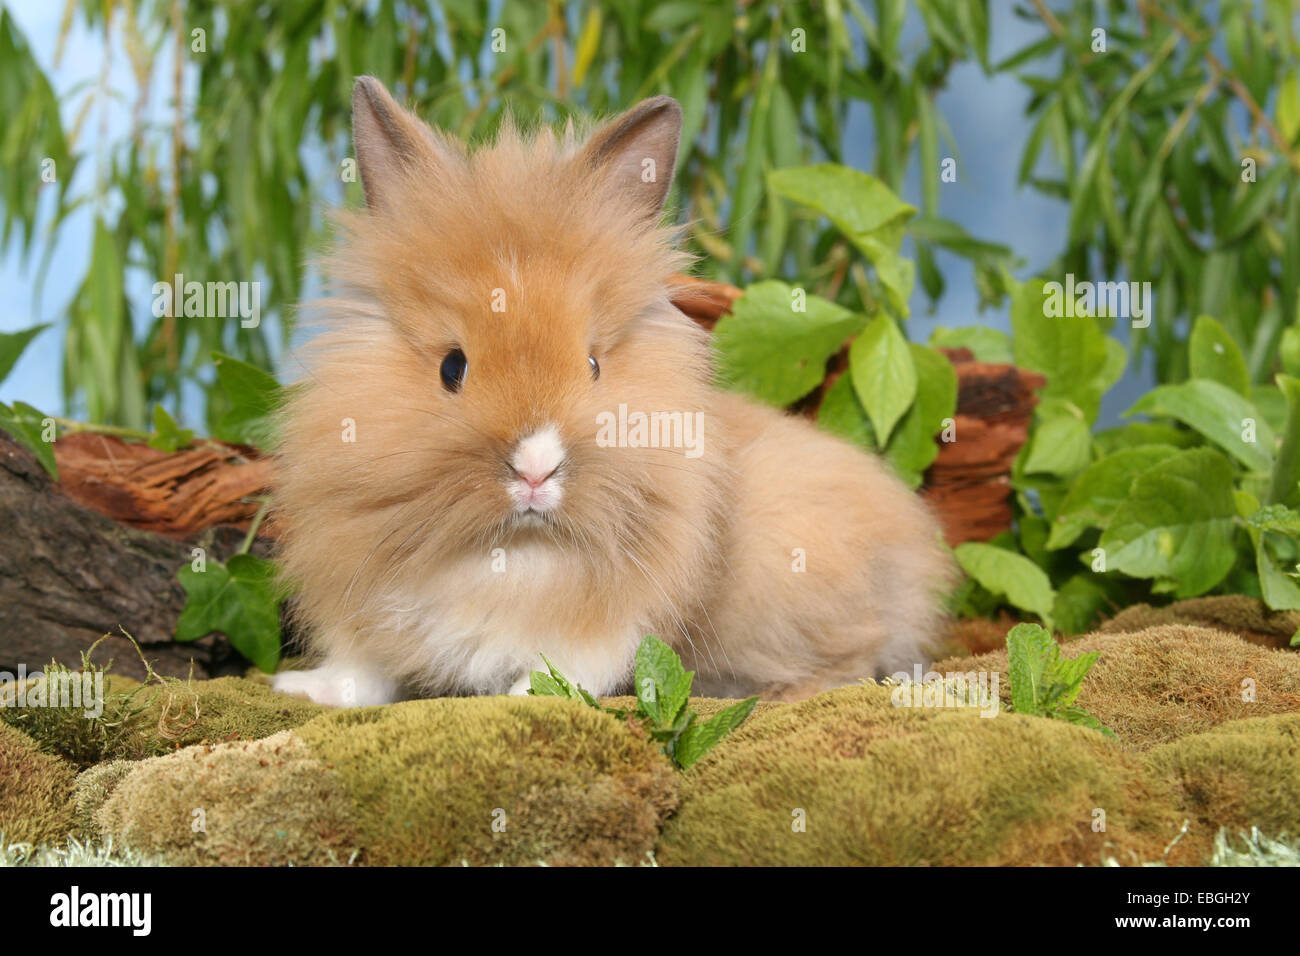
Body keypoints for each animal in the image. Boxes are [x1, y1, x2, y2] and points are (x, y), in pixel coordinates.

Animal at [270, 76, 957, 708]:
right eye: (452, 367)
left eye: (594, 363)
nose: (536, 468)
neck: (512, 555)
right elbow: (364, 669)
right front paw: (305, 688)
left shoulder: (612, 621)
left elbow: (566, 666)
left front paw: (525, 698)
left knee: (857, 655)